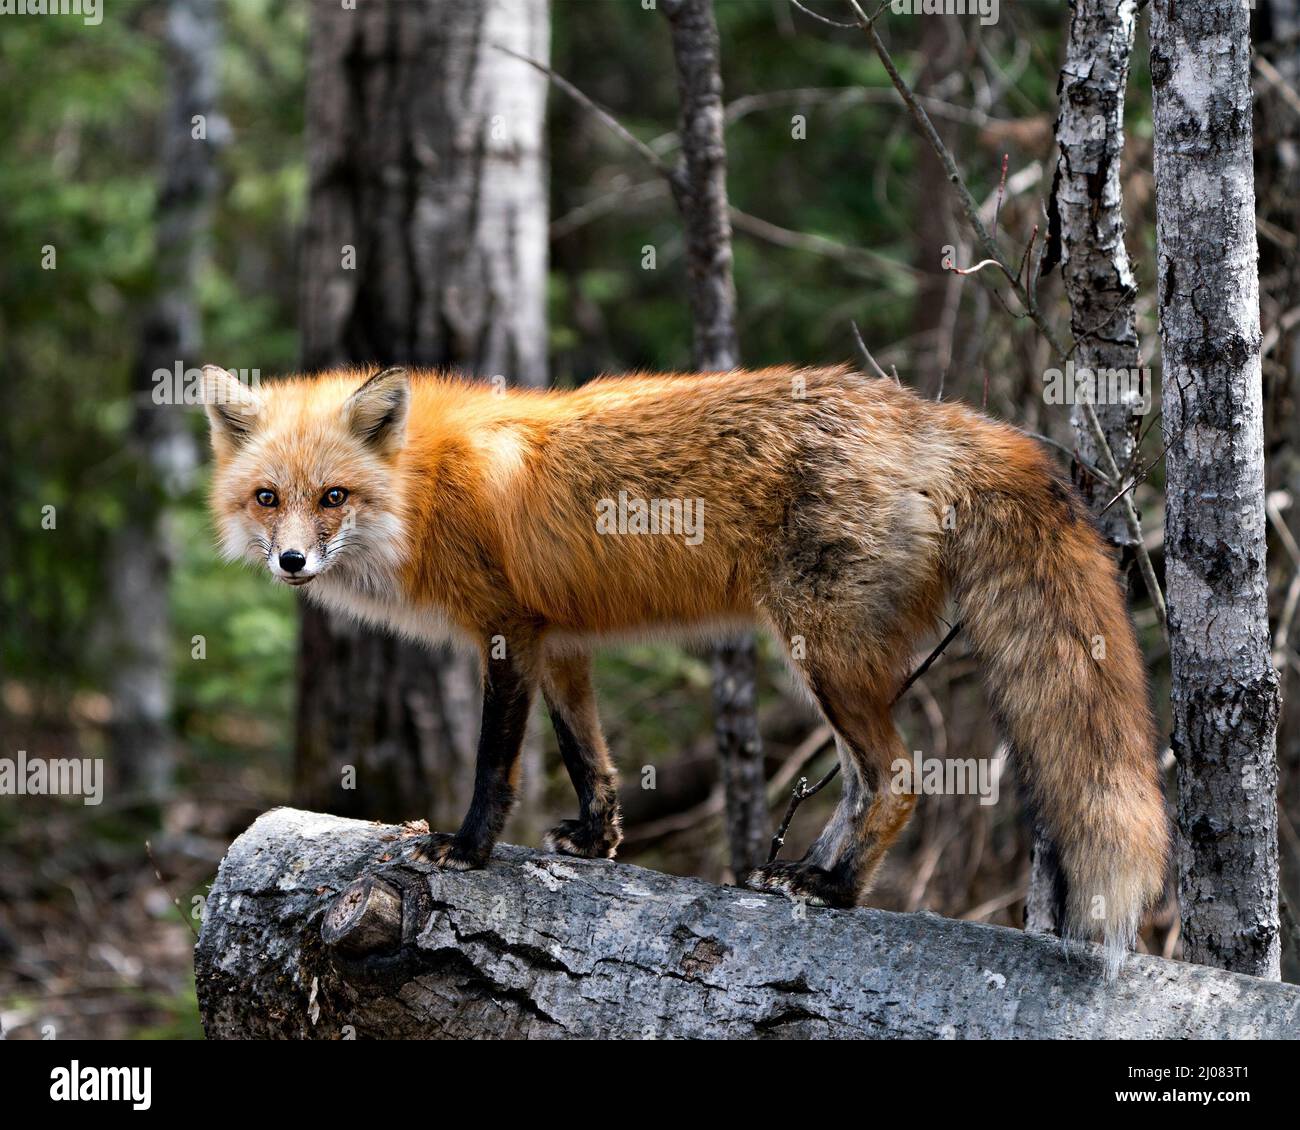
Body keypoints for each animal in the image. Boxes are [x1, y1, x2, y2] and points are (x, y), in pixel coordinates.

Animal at [201, 361, 1169, 975]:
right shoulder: (560, 641)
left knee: (901, 774)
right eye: (268, 499)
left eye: (334, 497)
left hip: (820, 652)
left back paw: (836, 887)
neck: (428, 486)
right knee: (866, 780)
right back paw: (801, 876)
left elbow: (495, 765)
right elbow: (587, 757)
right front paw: (598, 842)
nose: (291, 562)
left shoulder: (506, 633)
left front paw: (467, 850)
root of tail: (937, 419)